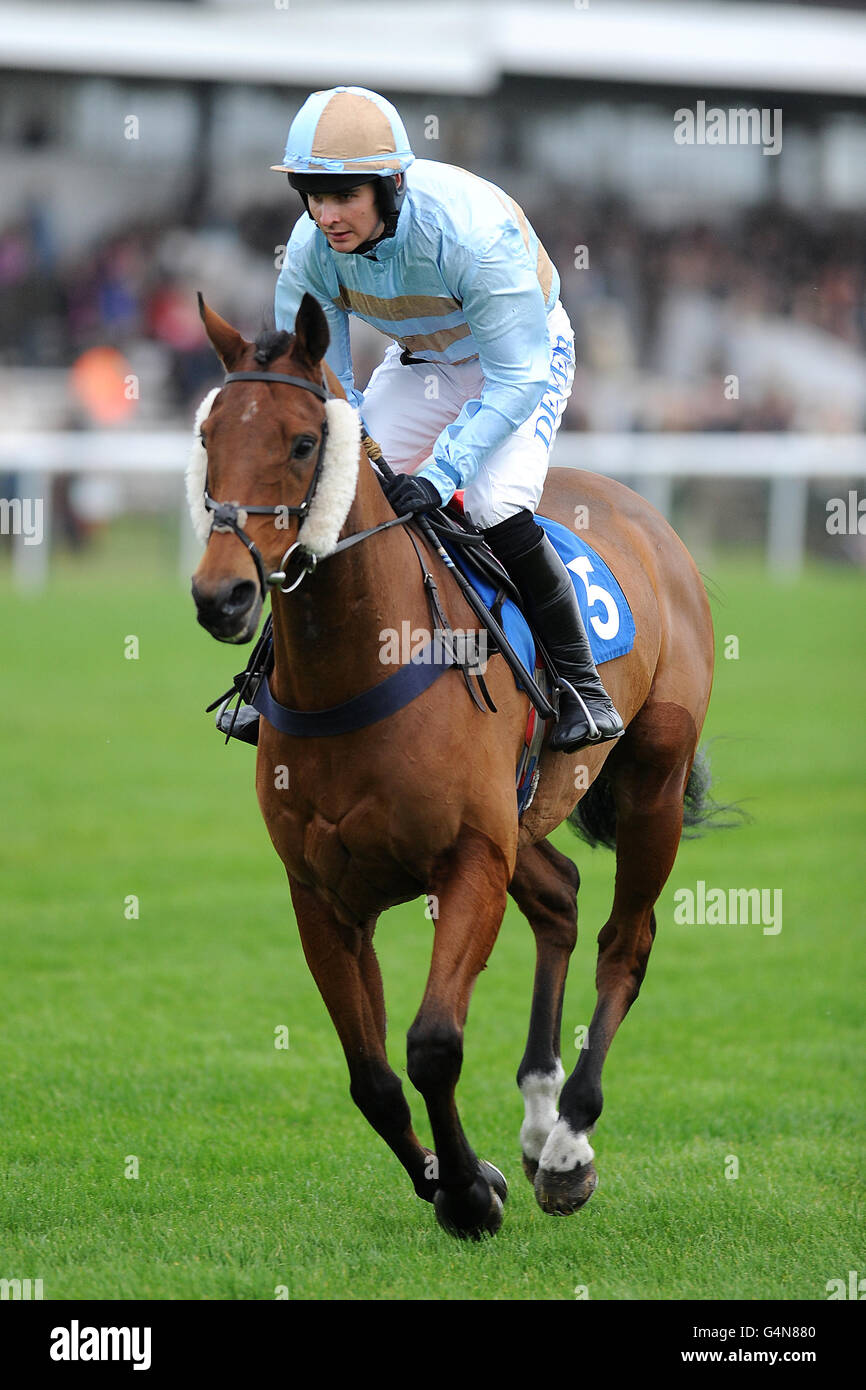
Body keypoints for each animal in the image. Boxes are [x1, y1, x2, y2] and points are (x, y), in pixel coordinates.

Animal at [188, 291, 716, 1239]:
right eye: (210, 434)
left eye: (302, 442)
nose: (223, 595)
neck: (359, 664)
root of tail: (642, 510)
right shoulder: (321, 893)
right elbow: (371, 1078)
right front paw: (449, 1175)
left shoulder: (469, 860)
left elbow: (433, 1045)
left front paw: (470, 1190)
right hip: (526, 813)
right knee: (560, 899)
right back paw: (540, 1119)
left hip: (653, 778)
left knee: (626, 942)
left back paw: (570, 1140)